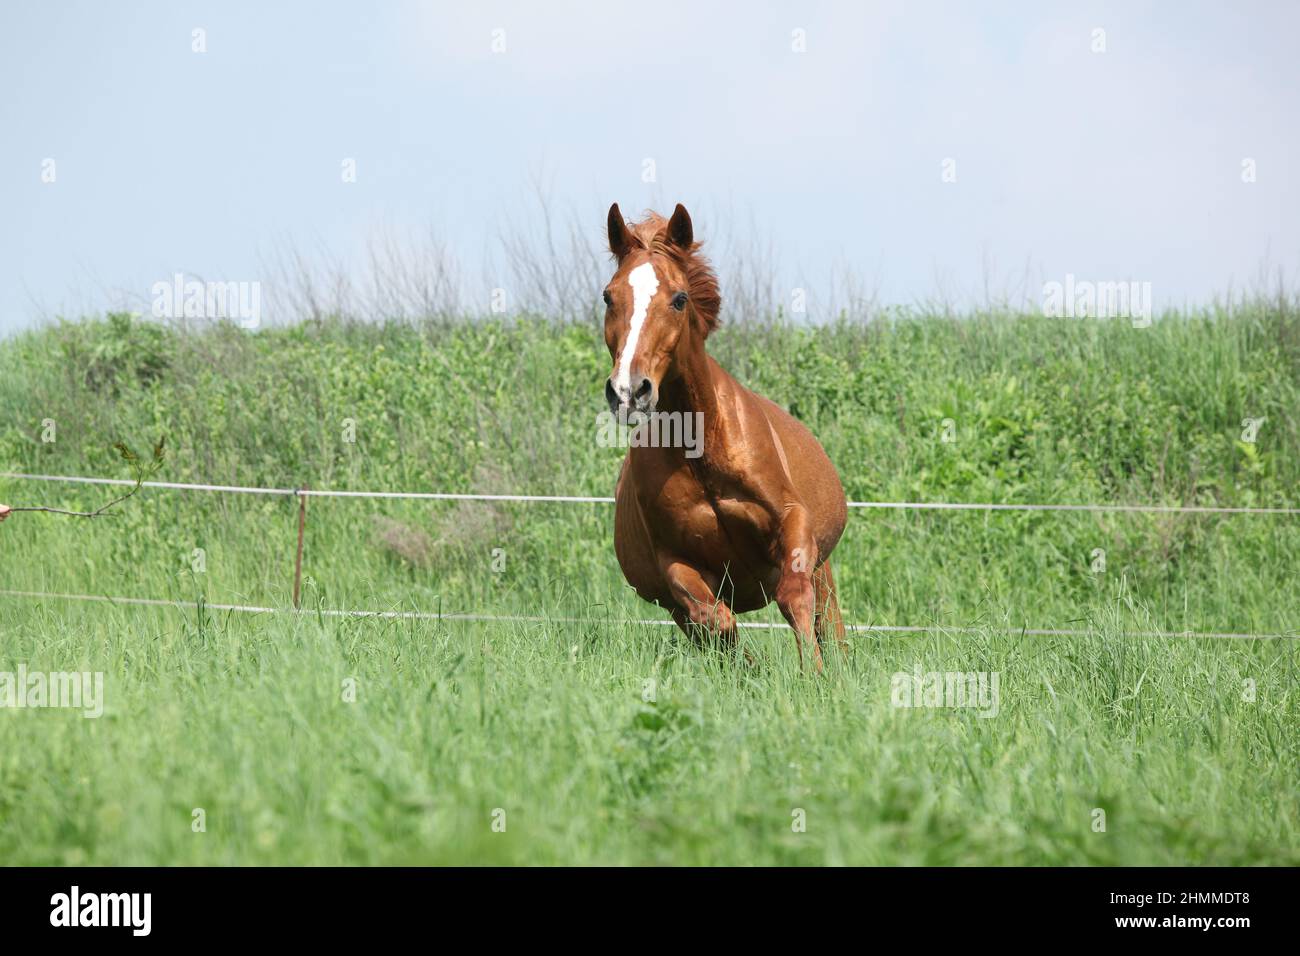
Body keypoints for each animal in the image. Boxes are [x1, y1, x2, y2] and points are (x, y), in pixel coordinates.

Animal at [602, 202, 848, 670]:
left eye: (679, 299)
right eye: (609, 296)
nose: (628, 390)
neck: (702, 452)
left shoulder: (793, 524)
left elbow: (794, 597)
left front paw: (813, 676)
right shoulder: (674, 561)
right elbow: (716, 622)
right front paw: (756, 672)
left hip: (823, 567)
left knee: (831, 625)